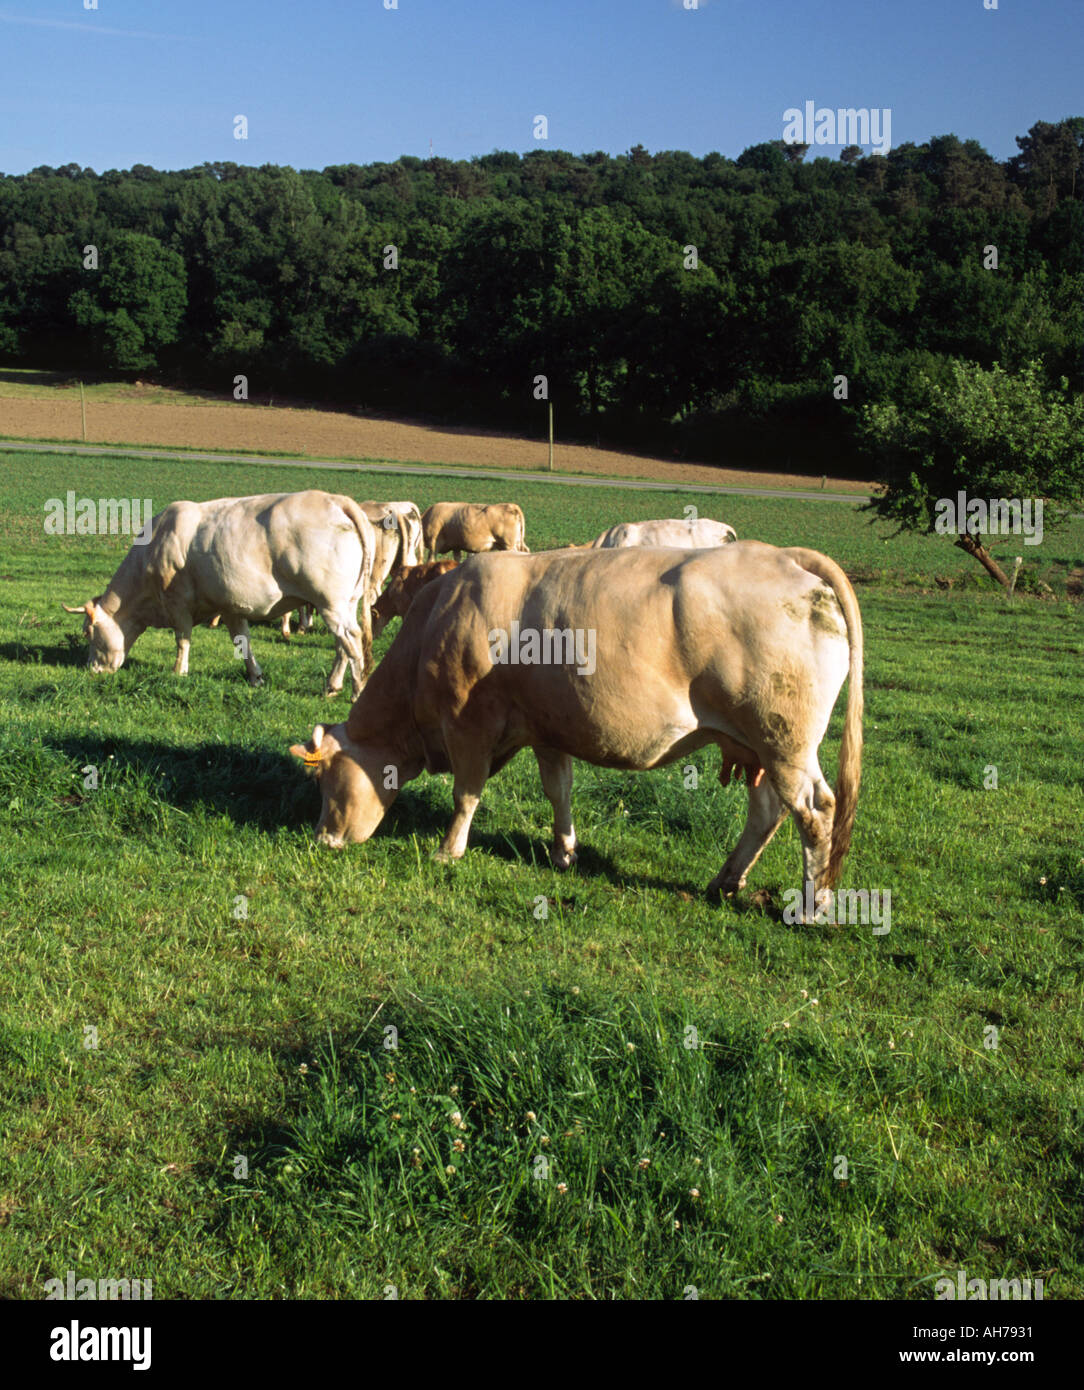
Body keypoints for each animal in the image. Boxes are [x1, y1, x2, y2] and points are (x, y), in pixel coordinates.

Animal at [63, 490, 377, 698]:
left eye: (88, 633)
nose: (93, 670)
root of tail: (336, 500)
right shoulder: (231, 606)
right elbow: (243, 642)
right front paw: (255, 678)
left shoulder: (177, 603)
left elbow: (183, 640)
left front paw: (179, 671)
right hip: (344, 603)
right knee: (342, 645)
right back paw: (332, 686)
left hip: (330, 603)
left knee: (351, 639)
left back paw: (357, 690)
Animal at [289, 541, 863, 916]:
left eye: (323, 779)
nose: (321, 840)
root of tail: (786, 556)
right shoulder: (546, 729)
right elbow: (558, 790)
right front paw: (564, 851)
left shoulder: (469, 725)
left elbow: (466, 793)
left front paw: (448, 850)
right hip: (760, 746)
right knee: (767, 811)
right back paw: (725, 880)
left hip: (783, 741)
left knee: (815, 810)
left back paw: (811, 905)